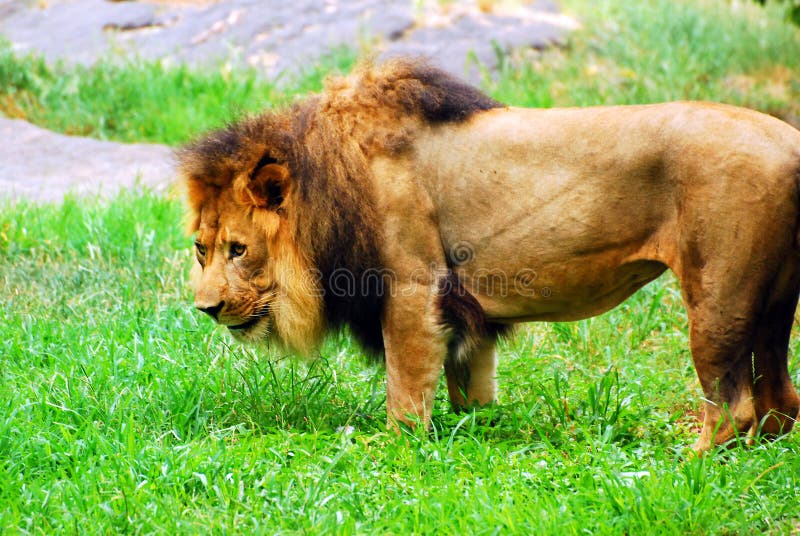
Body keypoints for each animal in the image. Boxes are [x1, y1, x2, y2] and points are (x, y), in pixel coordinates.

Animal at [178, 58, 800, 452]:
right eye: (200, 249)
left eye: (239, 249)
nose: (206, 309)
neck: (329, 179)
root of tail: (788, 144)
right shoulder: (461, 311)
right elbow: (469, 385)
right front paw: (478, 431)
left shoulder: (412, 289)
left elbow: (406, 387)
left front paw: (394, 448)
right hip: (772, 308)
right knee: (779, 400)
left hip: (718, 302)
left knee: (734, 406)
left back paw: (685, 464)